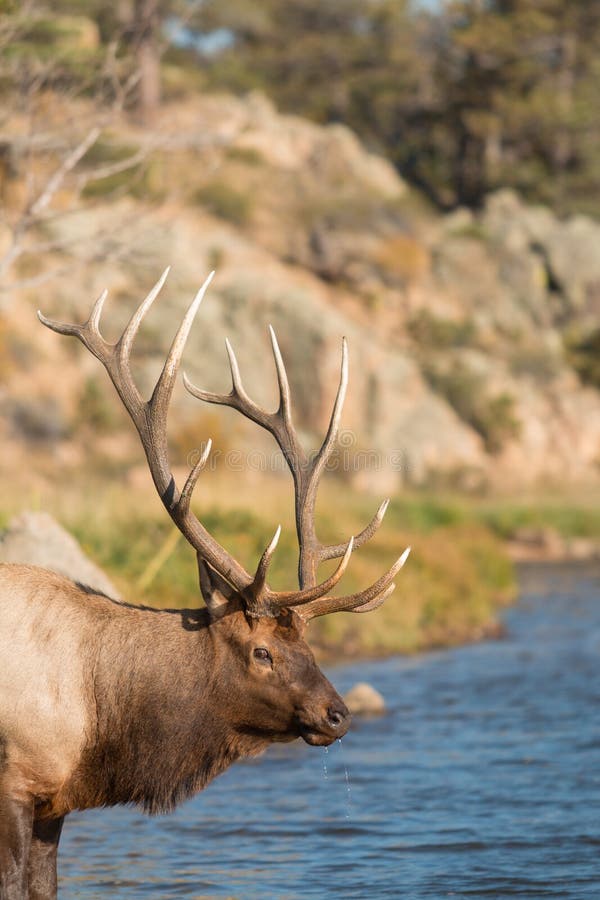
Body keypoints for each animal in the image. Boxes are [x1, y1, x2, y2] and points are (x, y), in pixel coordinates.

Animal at [0, 269, 409, 899]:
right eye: (262, 651)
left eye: (309, 646)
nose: (338, 714)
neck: (98, 722)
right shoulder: (17, 783)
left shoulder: (51, 803)